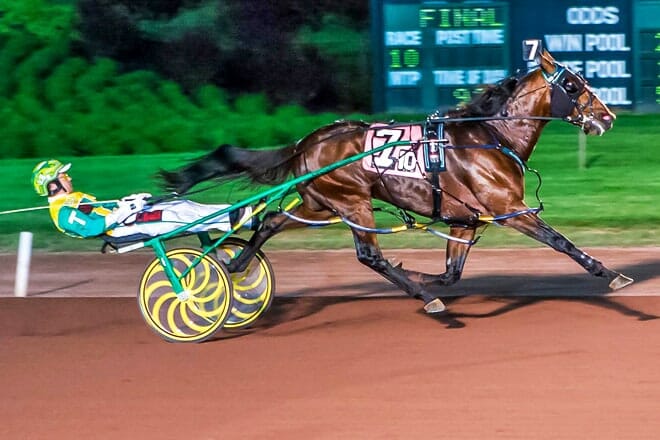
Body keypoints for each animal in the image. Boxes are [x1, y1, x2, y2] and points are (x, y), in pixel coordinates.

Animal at [159, 49, 633, 314]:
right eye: (573, 84)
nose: (608, 116)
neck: (491, 136)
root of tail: (305, 141)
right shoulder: (508, 210)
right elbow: (560, 241)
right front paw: (609, 273)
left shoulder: (465, 220)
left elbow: (451, 273)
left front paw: (423, 275)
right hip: (352, 203)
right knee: (369, 255)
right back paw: (426, 300)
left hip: (320, 204)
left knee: (272, 222)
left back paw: (235, 265)